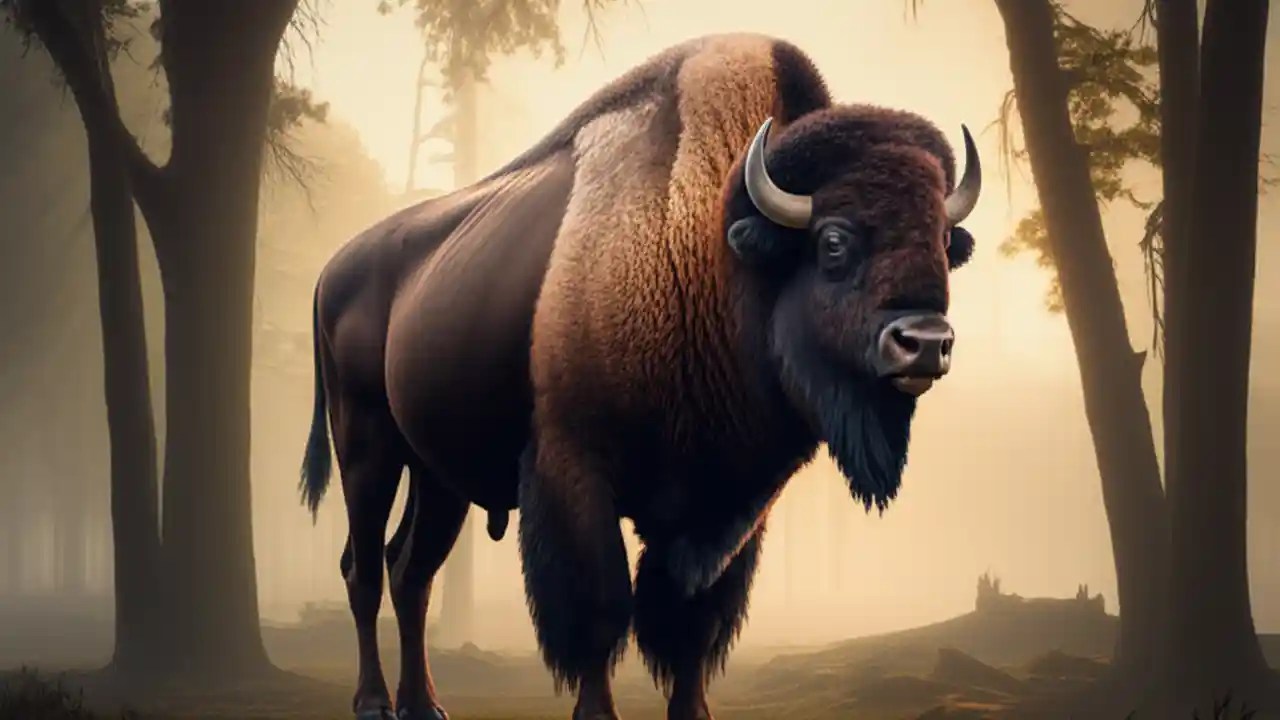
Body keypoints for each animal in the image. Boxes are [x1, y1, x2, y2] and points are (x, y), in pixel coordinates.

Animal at [299, 33, 981, 720]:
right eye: (834, 241)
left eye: (943, 238)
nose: (925, 343)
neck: (713, 253)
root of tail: (332, 269)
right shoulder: (576, 471)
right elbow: (601, 610)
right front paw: (598, 712)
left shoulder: (730, 504)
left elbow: (693, 624)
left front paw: (694, 712)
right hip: (367, 448)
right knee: (363, 569)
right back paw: (373, 702)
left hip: (438, 476)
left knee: (411, 571)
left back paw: (425, 704)